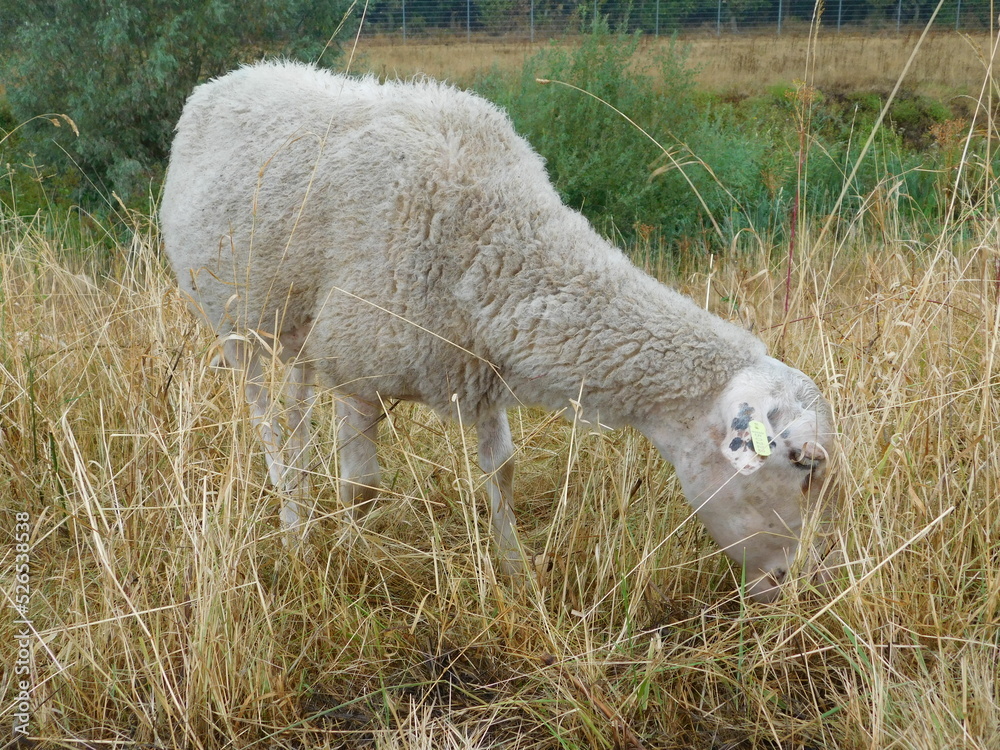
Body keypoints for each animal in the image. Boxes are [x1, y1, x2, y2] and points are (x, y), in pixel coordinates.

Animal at [161, 60, 837, 602]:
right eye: (802, 466)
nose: (794, 587)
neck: (494, 239)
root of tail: (230, 79)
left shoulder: (480, 371)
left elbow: (503, 472)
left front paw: (516, 573)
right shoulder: (359, 369)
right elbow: (363, 487)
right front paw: (350, 563)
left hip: (299, 326)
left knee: (296, 400)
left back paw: (302, 489)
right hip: (232, 320)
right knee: (265, 418)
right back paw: (294, 522)